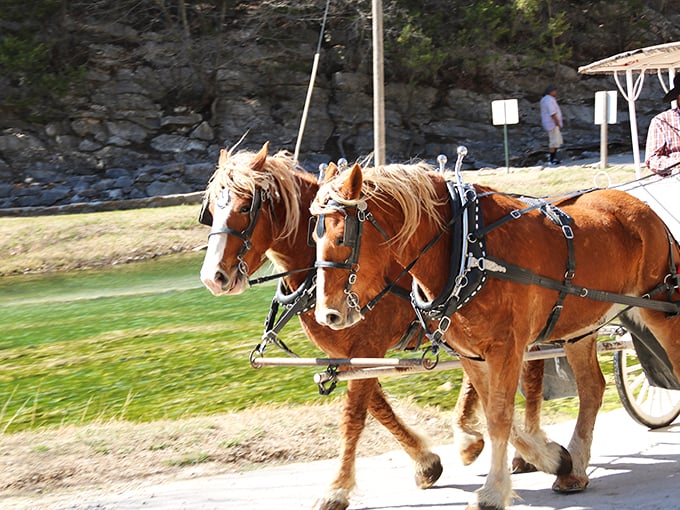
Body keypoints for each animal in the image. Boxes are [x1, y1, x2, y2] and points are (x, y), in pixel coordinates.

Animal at [311, 160, 680, 509]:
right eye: (314, 238)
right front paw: (552, 458)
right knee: (592, 389)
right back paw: (574, 470)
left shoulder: (507, 347)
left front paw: (492, 491)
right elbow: (492, 413)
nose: (327, 314)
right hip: (581, 328)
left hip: (659, 310)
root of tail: (646, 209)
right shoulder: (470, 353)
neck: (466, 248)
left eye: (343, 237)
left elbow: (501, 416)